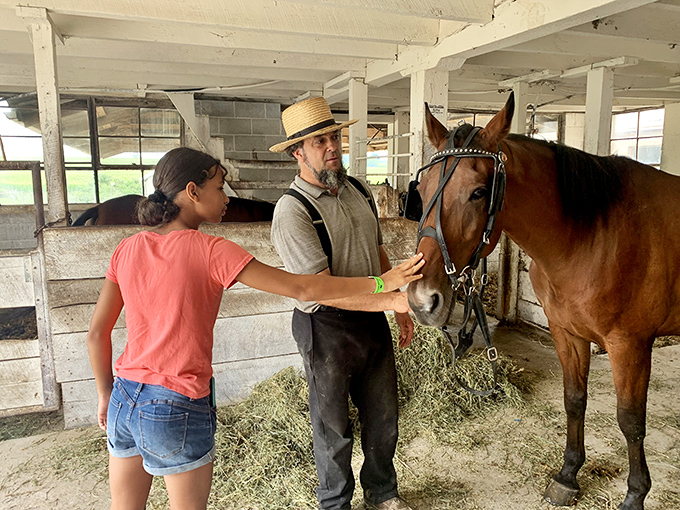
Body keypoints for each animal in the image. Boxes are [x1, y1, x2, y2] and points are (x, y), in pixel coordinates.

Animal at [405, 93, 680, 510]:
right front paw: (568, 475)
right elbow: (575, 400)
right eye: (421, 192)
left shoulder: (629, 345)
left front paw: (635, 494)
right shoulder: (566, 333)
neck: (590, 236)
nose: (422, 300)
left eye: (479, 192)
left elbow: (631, 420)